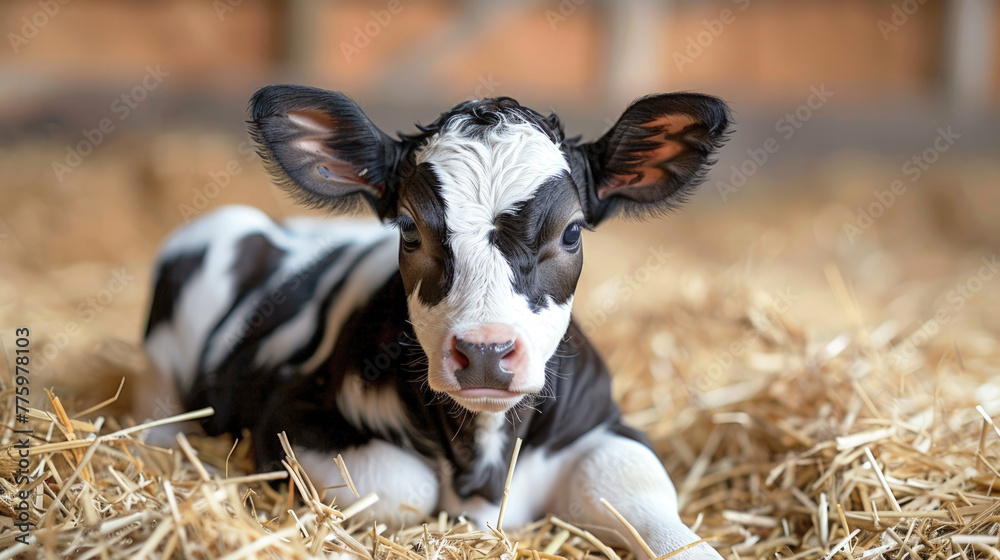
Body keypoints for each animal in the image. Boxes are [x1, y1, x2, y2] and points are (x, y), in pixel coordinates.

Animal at [143, 85, 731, 559]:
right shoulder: (285, 418)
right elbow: (405, 484)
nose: (486, 352)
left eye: (570, 231)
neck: (482, 462)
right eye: (409, 228)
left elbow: (633, 484)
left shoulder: (606, 423)